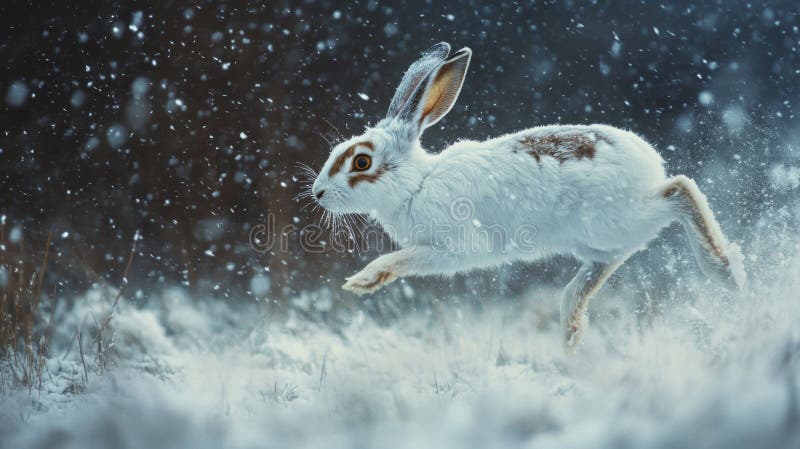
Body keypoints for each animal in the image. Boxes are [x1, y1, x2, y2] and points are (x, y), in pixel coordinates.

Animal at [309, 42, 746, 351]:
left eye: (361, 161)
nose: (318, 193)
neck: (416, 184)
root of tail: (649, 162)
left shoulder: (454, 248)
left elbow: (406, 259)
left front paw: (365, 280)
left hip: (619, 217)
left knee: (680, 191)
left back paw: (726, 270)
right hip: (594, 238)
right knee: (608, 261)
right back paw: (570, 328)